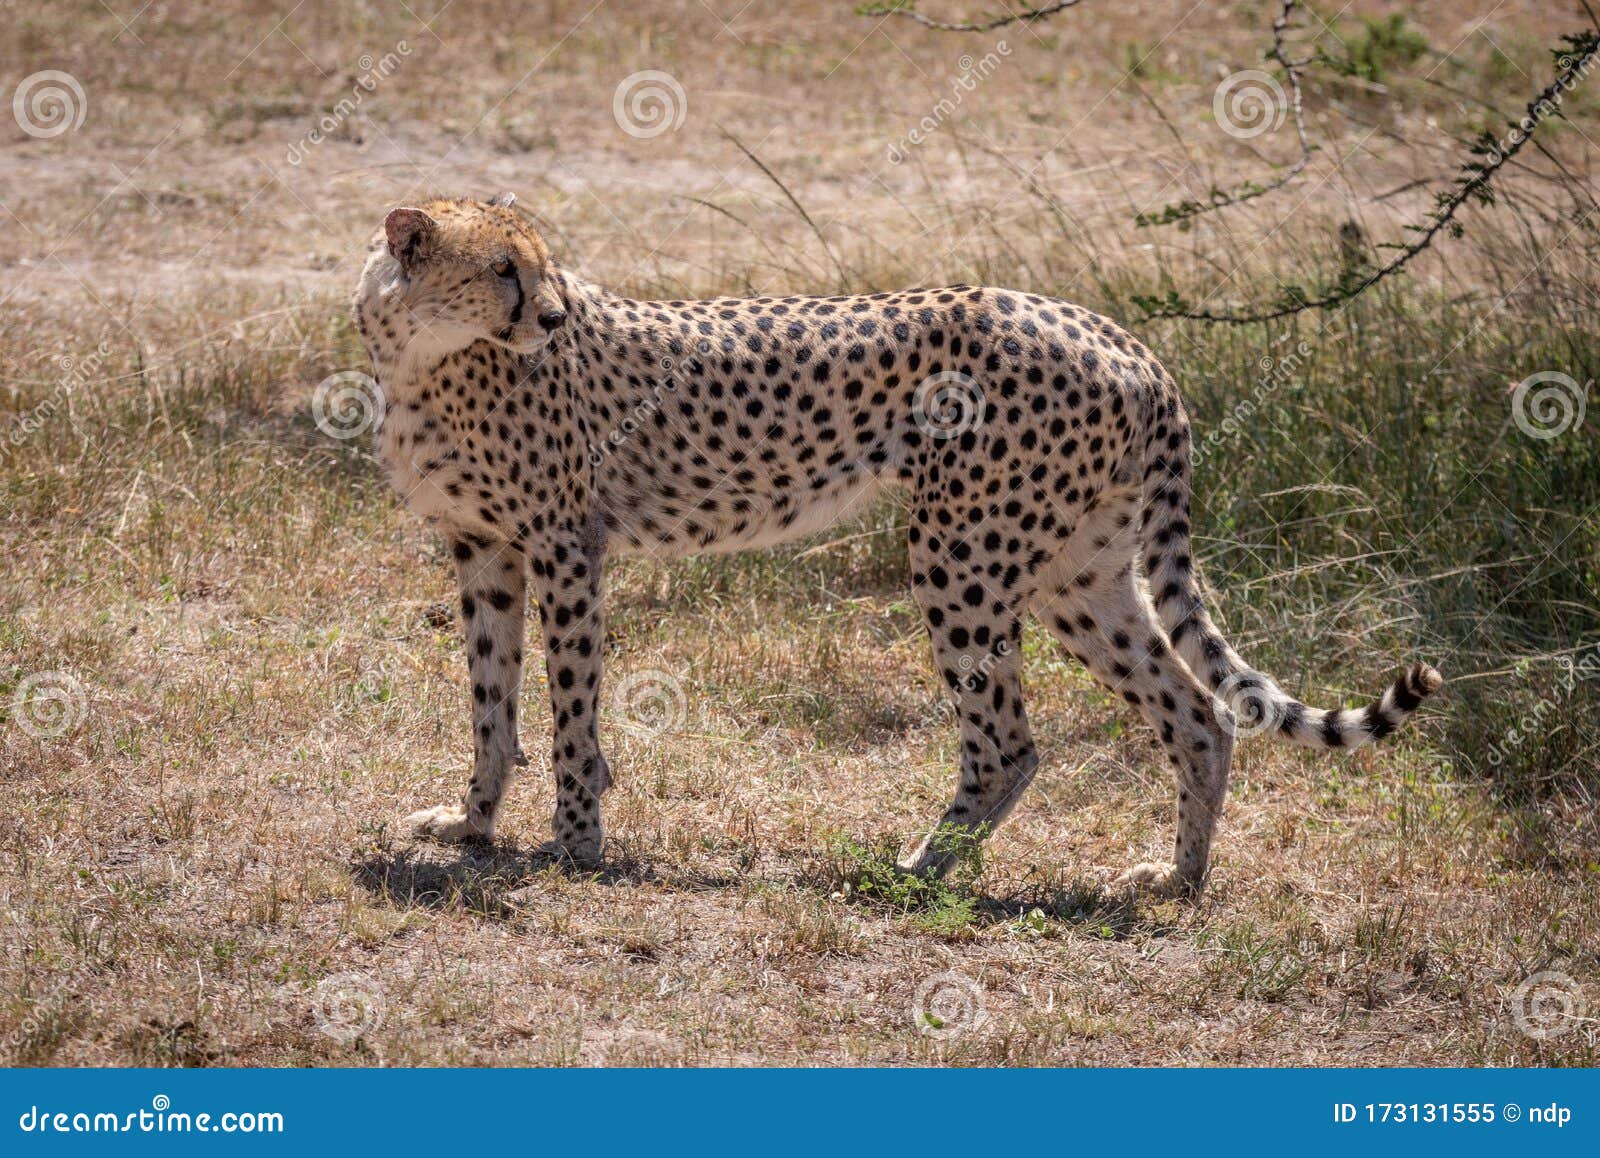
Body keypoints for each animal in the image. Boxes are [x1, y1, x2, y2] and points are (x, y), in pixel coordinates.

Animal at [351, 193, 1442, 898]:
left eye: (542, 270)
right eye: (503, 269)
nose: (554, 313)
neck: (422, 356)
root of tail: (1118, 333)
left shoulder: (565, 546)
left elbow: (569, 710)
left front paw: (576, 840)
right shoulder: (482, 549)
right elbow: (490, 704)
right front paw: (472, 825)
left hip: (960, 551)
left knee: (1009, 741)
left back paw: (919, 868)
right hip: (1078, 573)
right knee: (1199, 714)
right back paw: (1176, 879)